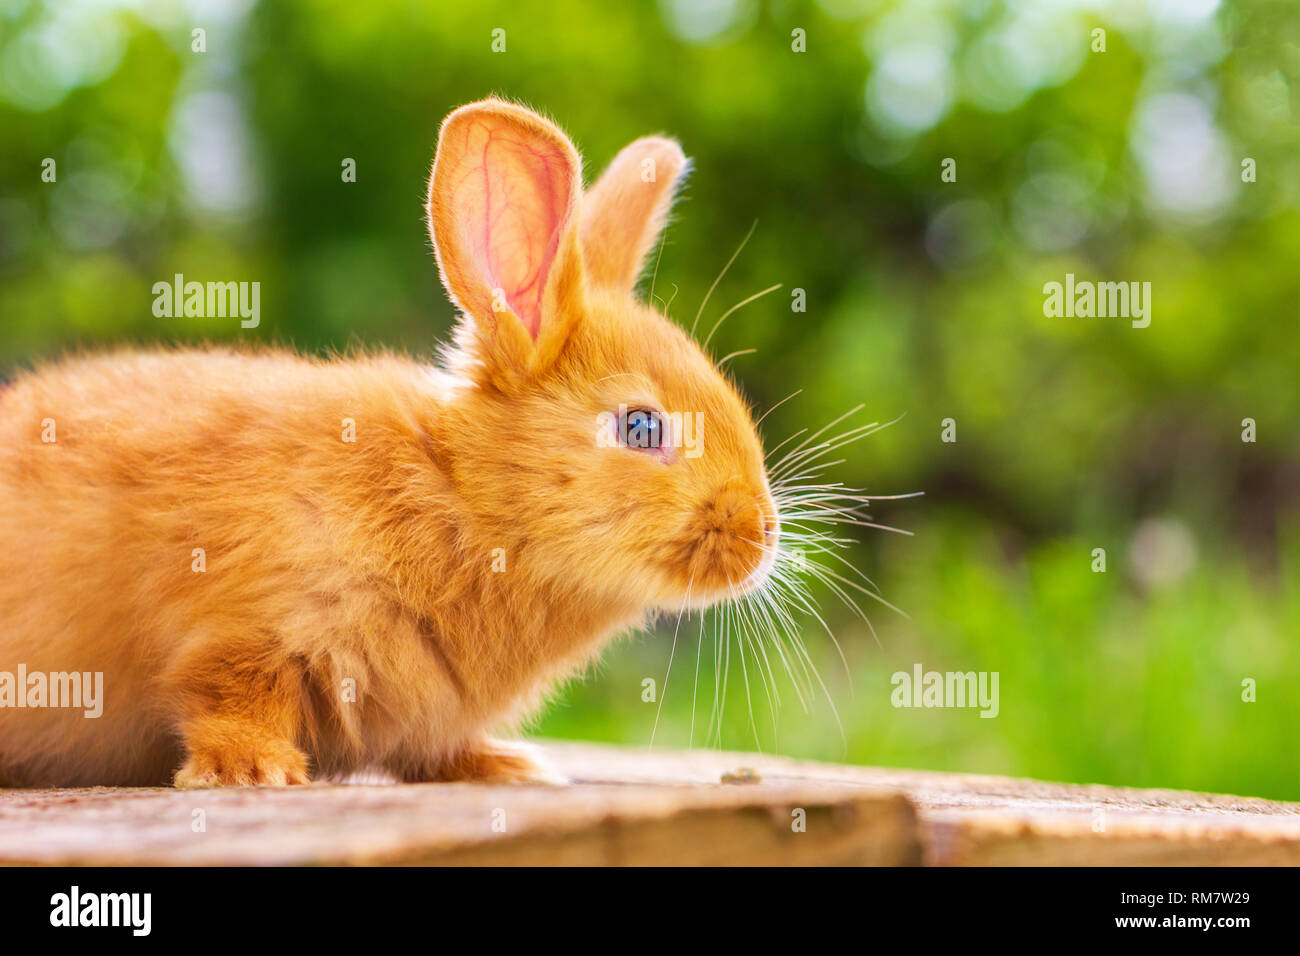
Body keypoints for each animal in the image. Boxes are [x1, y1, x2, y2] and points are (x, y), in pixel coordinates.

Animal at [0, 98, 779, 788]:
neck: (462, 498)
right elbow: (229, 694)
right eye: (641, 427)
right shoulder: (246, 627)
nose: (763, 533)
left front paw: (504, 767)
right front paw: (253, 771)